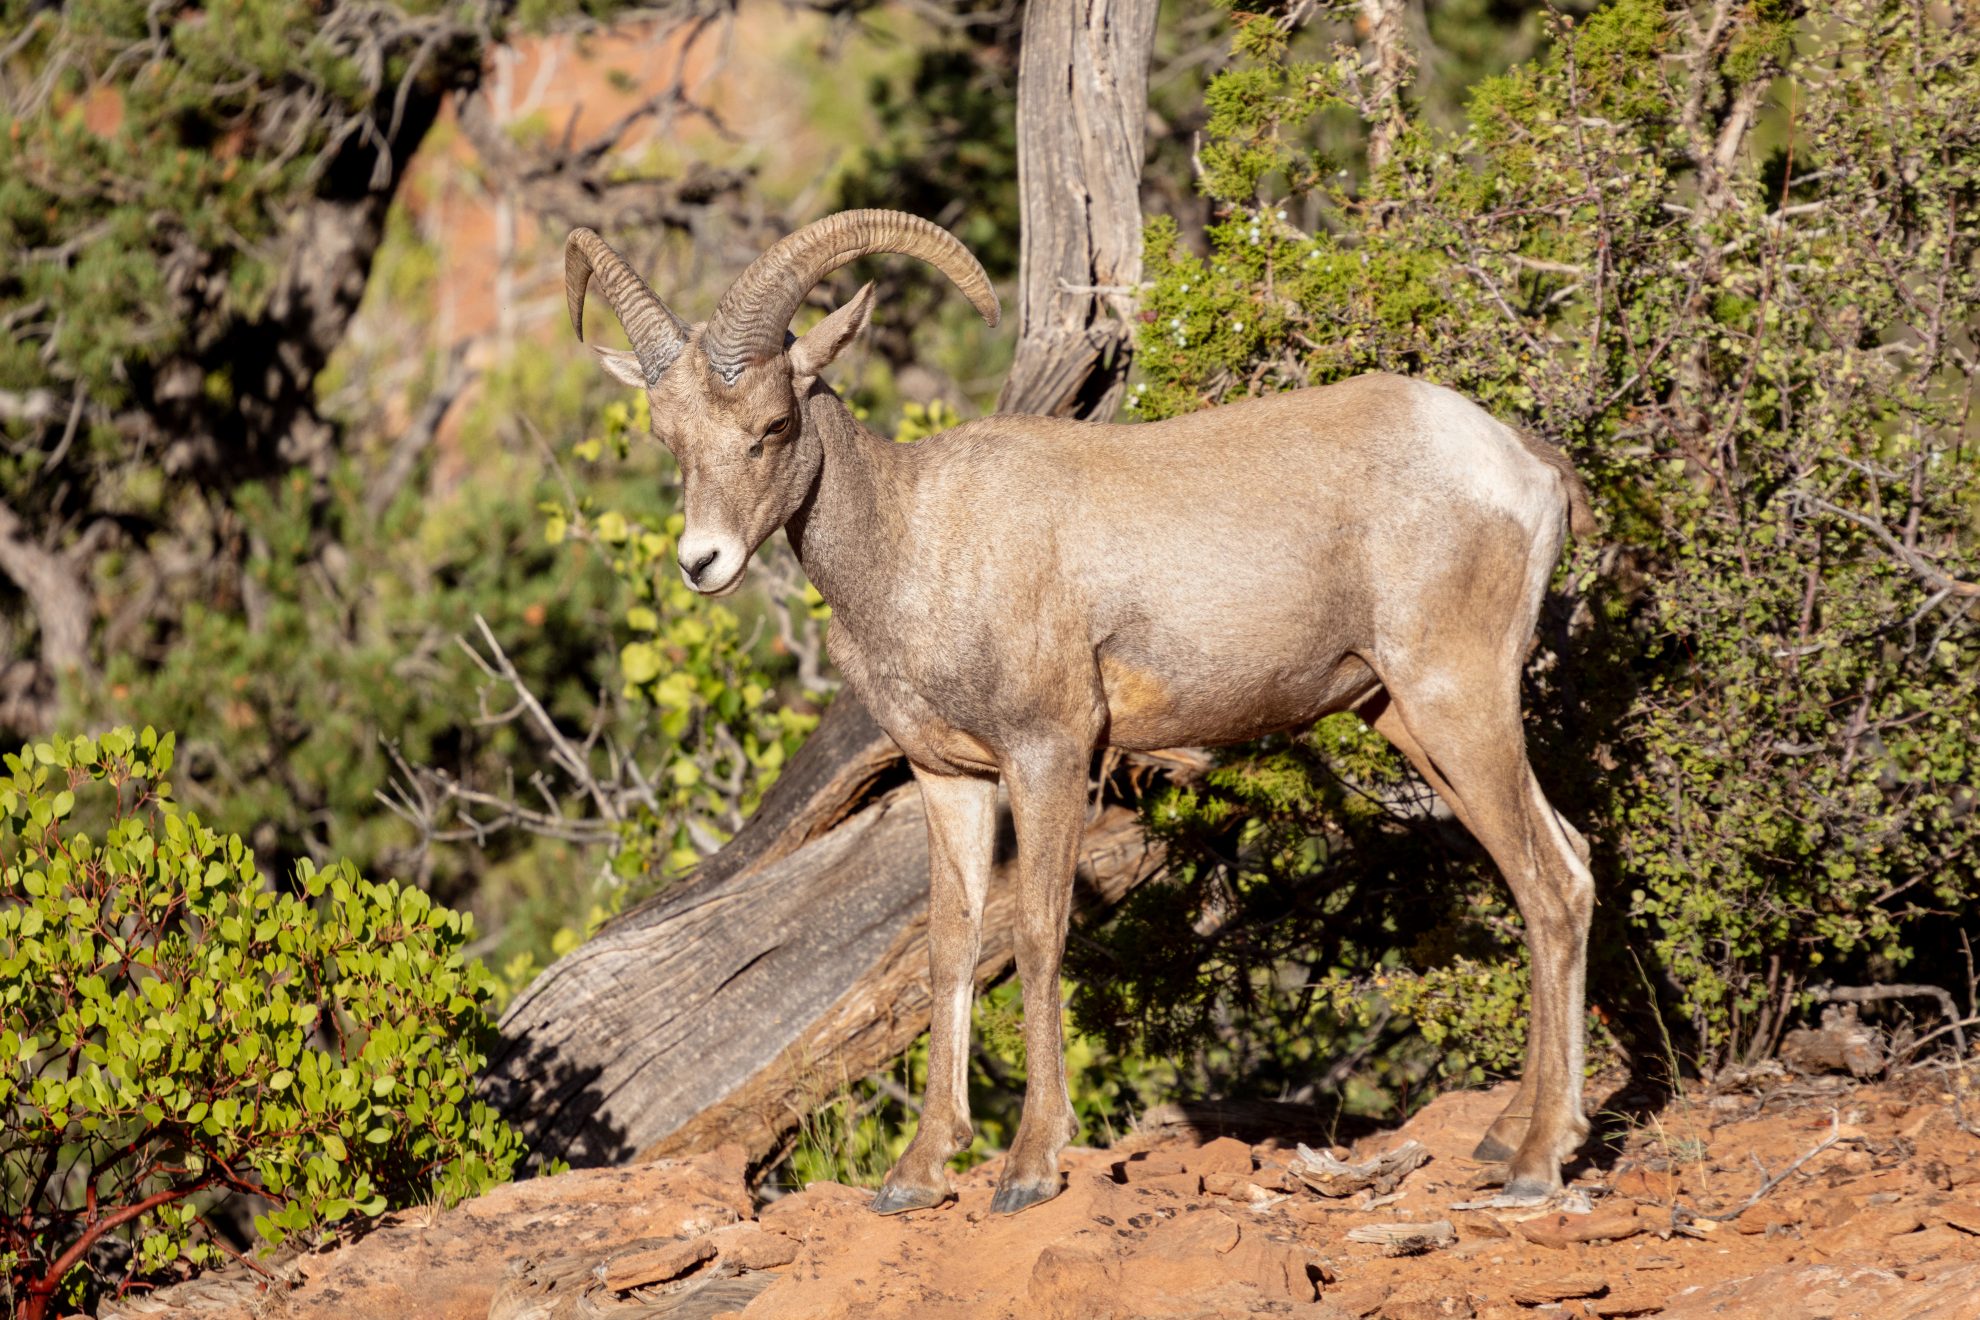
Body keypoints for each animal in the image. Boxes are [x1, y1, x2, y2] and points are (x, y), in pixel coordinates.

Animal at [565, 209, 1597, 1215]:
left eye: (774, 423)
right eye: (669, 438)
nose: (702, 562)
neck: (919, 547)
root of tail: (1524, 466)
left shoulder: (1050, 756)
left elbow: (1037, 935)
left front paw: (1029, 1169)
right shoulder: (950, 778)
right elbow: (951, 946)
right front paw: (916, 1177)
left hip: (1456, 700)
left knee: (1550, 886)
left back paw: (1535, 1167)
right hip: (1409, 720)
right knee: (1571, 864)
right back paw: (1516, 1134)